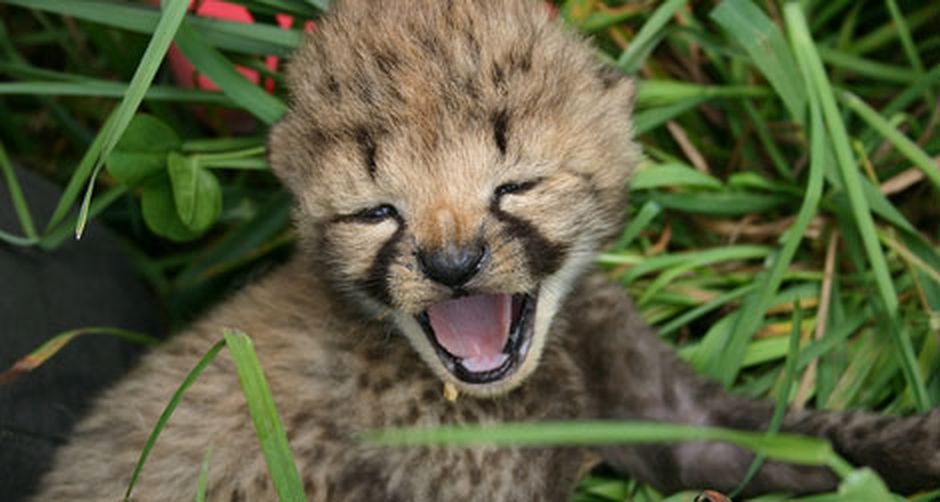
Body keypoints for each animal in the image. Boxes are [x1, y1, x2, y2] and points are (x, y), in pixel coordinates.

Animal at [35, 0, 939, 499]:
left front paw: (918, 443)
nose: (451, 266)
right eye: (377, 211)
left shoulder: (678, 421)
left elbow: (818, 437)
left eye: (517, 185)